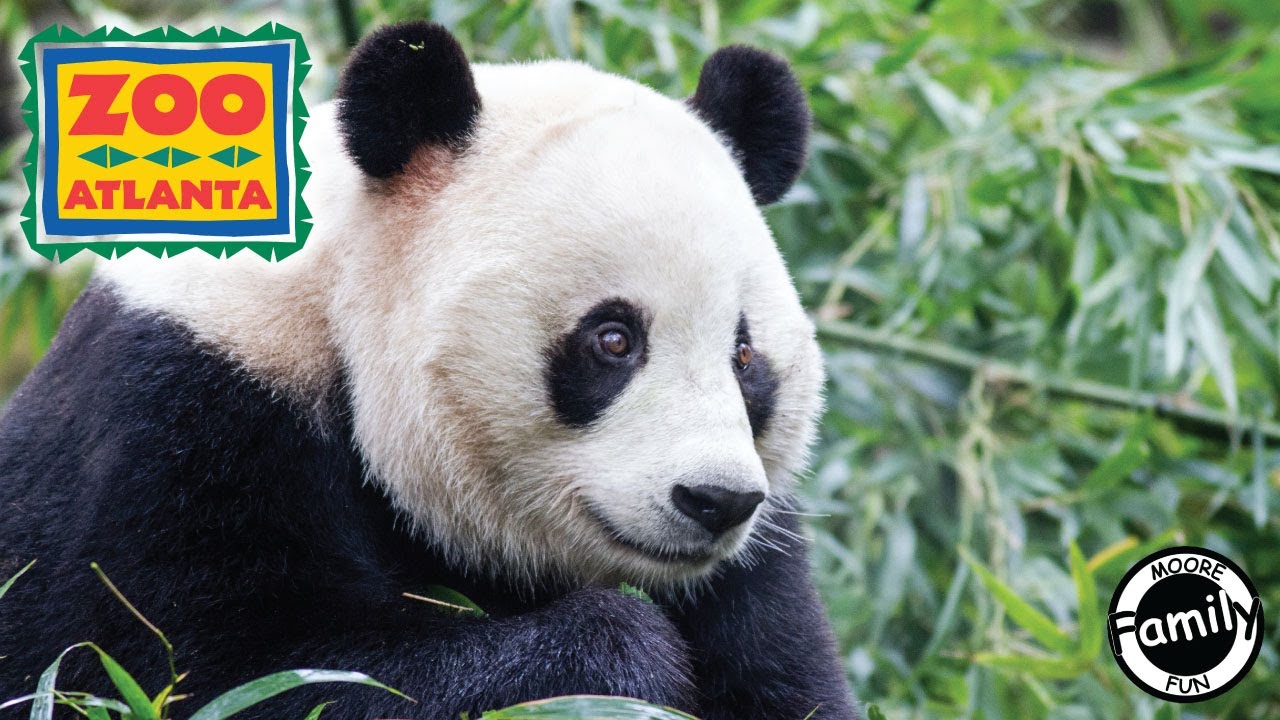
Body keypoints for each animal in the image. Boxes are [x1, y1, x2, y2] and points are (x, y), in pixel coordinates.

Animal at [0, 21, 856, 720]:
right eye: (614, 339)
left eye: (744, 357)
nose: (715, 500)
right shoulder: (185, 425)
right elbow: (228, 676)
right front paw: (621, 667)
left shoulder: (755, 563)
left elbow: (785, 676)